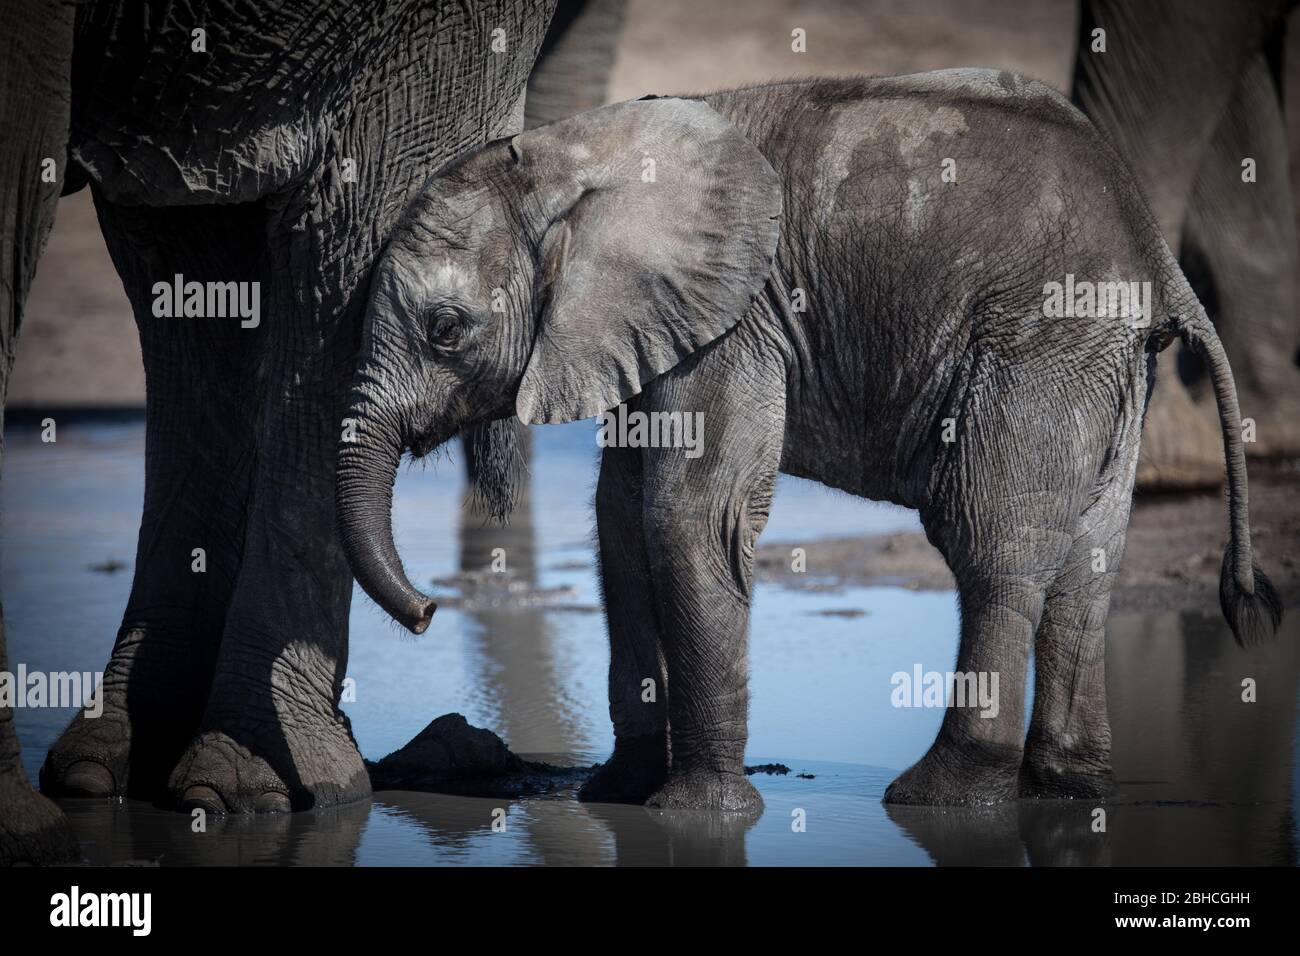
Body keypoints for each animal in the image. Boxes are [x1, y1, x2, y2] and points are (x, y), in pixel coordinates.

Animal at [335, 71, 1282, 810]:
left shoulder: (735, 320)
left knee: (994, 544)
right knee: (1092, 560)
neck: (568, 154)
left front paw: (699, 814)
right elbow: (620, 525)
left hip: (1040, 343)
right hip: (1107, 367)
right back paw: (1068, 787)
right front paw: (617, 795)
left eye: (445, 330)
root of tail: (1158, 262)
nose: (428, 610)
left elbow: (689, 517)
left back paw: (939, 796)